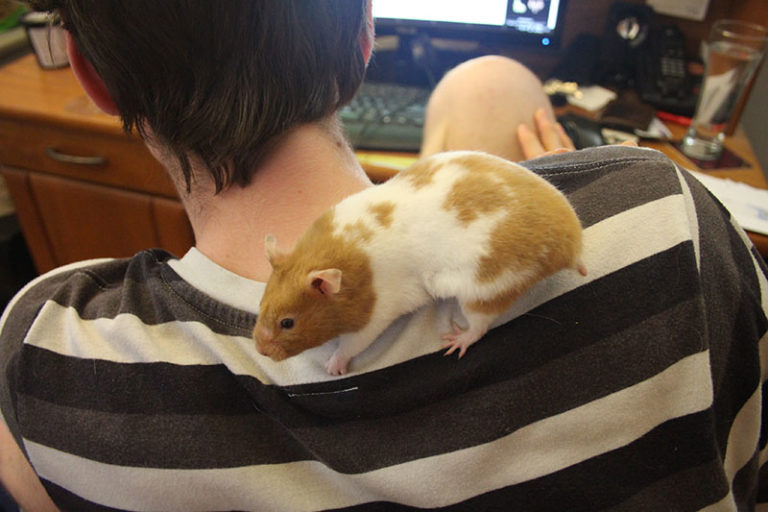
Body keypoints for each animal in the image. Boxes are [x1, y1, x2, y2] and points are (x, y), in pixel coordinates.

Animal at [253, 150, 587, 375]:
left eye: (288, 323)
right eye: (262, 304)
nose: (260, 350)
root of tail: (570, 245)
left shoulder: (374, 319)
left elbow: (351, 345)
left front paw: (333, 367)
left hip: (483, 288)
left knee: (480, 325)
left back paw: (455, 341)